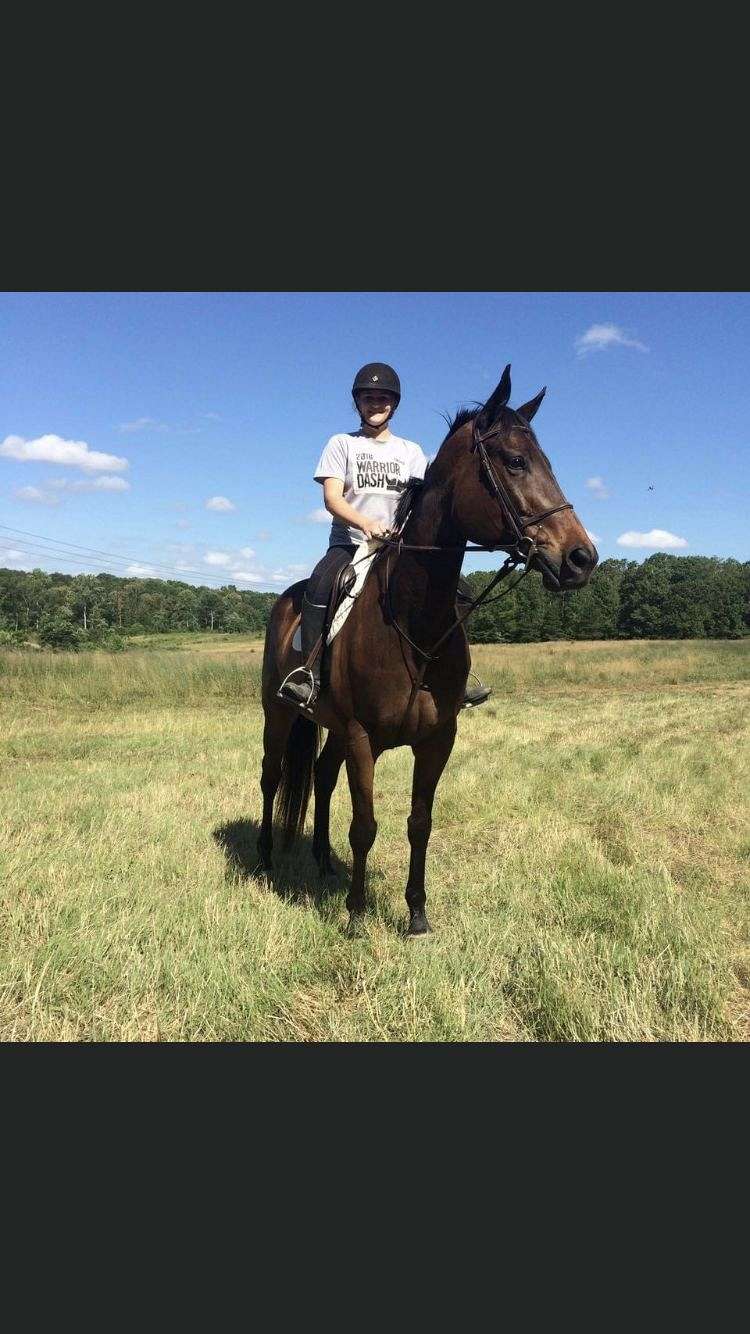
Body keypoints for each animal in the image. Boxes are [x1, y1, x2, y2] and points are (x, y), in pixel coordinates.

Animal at [258, 365, 598, 936]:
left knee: (321, 778)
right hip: (279, 713)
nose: (581, 559)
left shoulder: (438, 739)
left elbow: (420, 823)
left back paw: (323, 863)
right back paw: (263, 863)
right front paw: (355, 916)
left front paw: (416, 913)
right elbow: (365, 826)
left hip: (330, 727)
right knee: (272, 775)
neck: (412, 622)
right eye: (515, 461)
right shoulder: (362, 737)